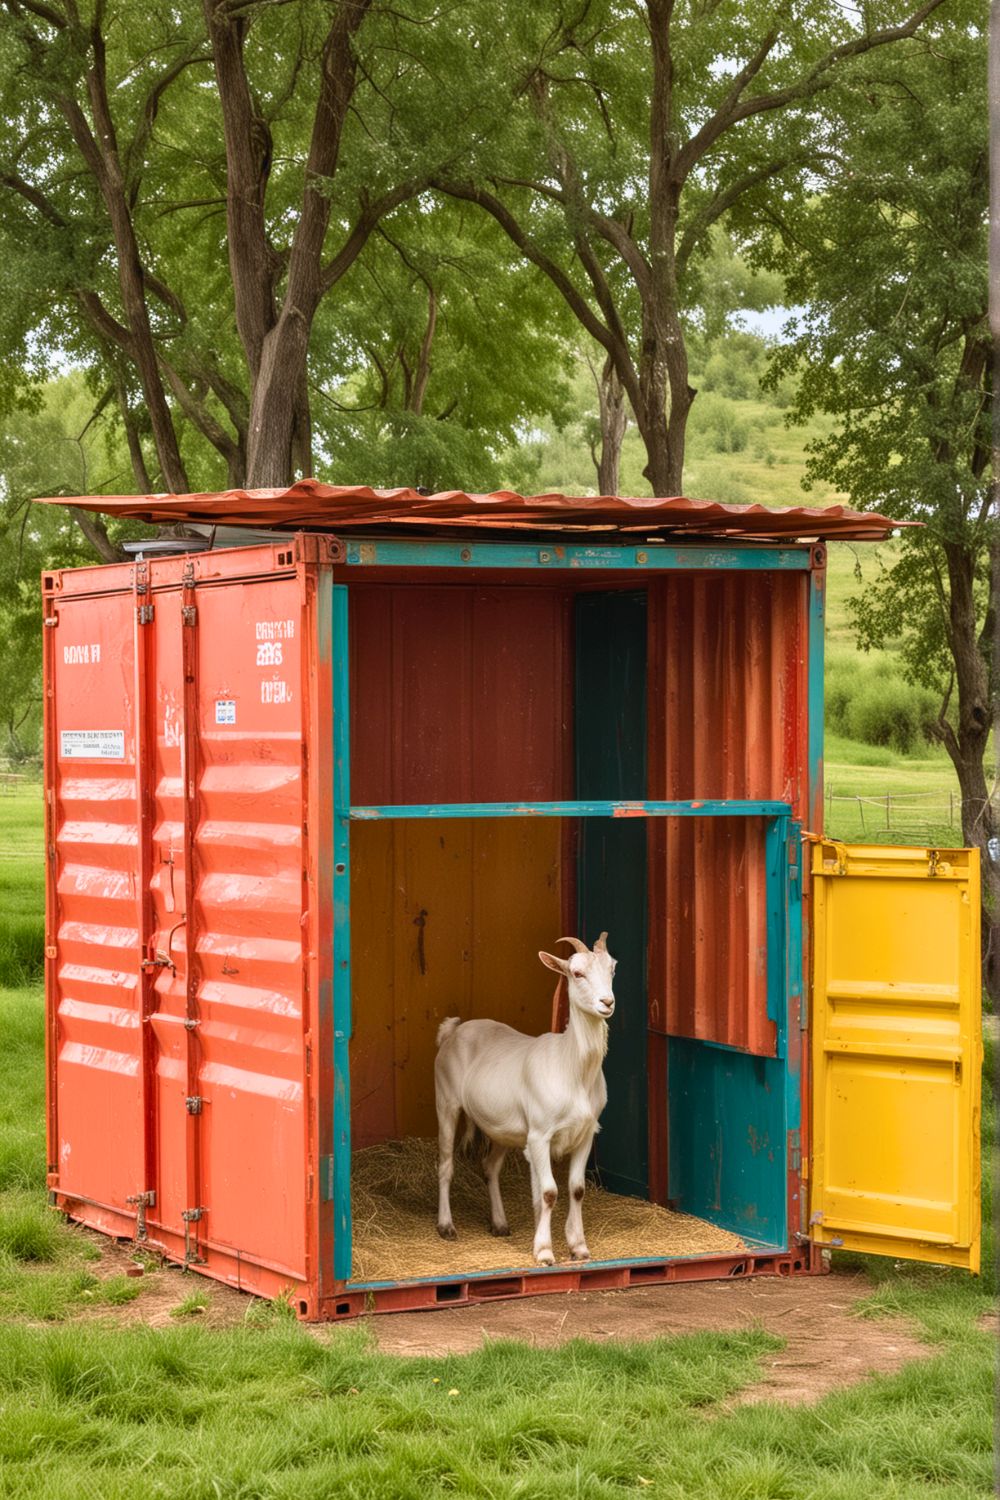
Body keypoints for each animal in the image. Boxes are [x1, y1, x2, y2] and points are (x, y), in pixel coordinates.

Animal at [434, 933, 616, 1266]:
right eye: (577, 973)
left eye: (612, 968)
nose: (607, 1003)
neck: (571, 1067)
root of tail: (453, 1030)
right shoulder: (540, 1135)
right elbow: (548, 1192)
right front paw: (544, 1252)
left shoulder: (585, 1134)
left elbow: (576, 1189)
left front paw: (579, 1247)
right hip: (446, 1102)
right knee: (446, 1164)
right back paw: (446, 1226)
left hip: (503, 1128)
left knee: (490, 1166)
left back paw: (499, 1223)